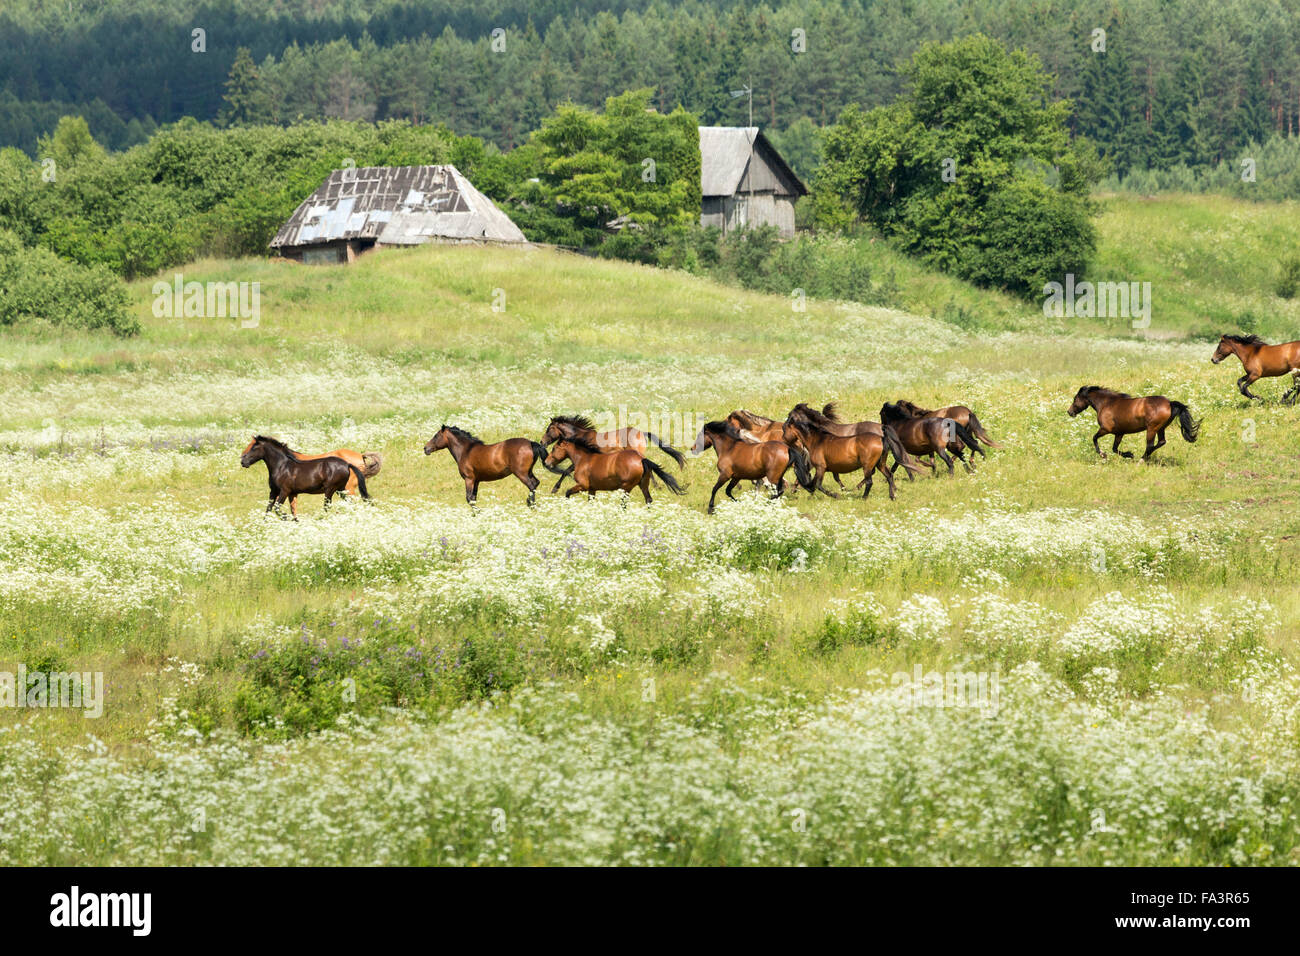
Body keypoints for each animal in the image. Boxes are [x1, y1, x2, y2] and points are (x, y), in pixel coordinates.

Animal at [240, 435, 368, 519]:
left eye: (254, 447)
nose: (242, 461)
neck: (281, 466)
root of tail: (347, 464)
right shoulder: (278, 492)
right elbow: (270, 510)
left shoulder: (284, 491)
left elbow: (277, 509)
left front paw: (285, 518)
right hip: (341, 490)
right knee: (352, 504)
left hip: (330, 490)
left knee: (327, 507)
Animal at [424, 425, 565, 506]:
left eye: (436, 436)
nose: (426, 448)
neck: (465, 450)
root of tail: (531, 443)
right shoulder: (476, 481)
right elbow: (474, 498)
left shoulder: (469, 479)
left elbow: (469, 498)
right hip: (528, 471)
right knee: (535, 483)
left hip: (521, 473)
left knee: (531, 485)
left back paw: (532, 505)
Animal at [541, 415, 687, 492]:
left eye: (549, 429)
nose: (542, 441)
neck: (582, 436)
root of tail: (642, 433)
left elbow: (566, 471)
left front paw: (555, 488)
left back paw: (657, 486)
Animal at [544, 435, 686, 503]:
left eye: (554, 448)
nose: (546, 462)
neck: (584, 458)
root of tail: (641, 459)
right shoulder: (592, 489)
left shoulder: (583, 486)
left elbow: (567, 493)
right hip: (643, 485)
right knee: (648, 499)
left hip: (626, 487)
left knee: (624, 503)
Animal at [1067, 386, 1201, 460]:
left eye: (1075, 399)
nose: (1069, 412)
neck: (1106, 403)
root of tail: (1169, 403)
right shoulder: (1119, 433)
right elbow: (1114, 448)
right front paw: (1129, 454)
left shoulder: (1105, 429)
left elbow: (1094, 438)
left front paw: (1103, 455)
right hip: (1160, 428)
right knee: (1161, 442)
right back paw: (1144, 457)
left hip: (1152, 429)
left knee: (1150, 445)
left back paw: (1141, 459)